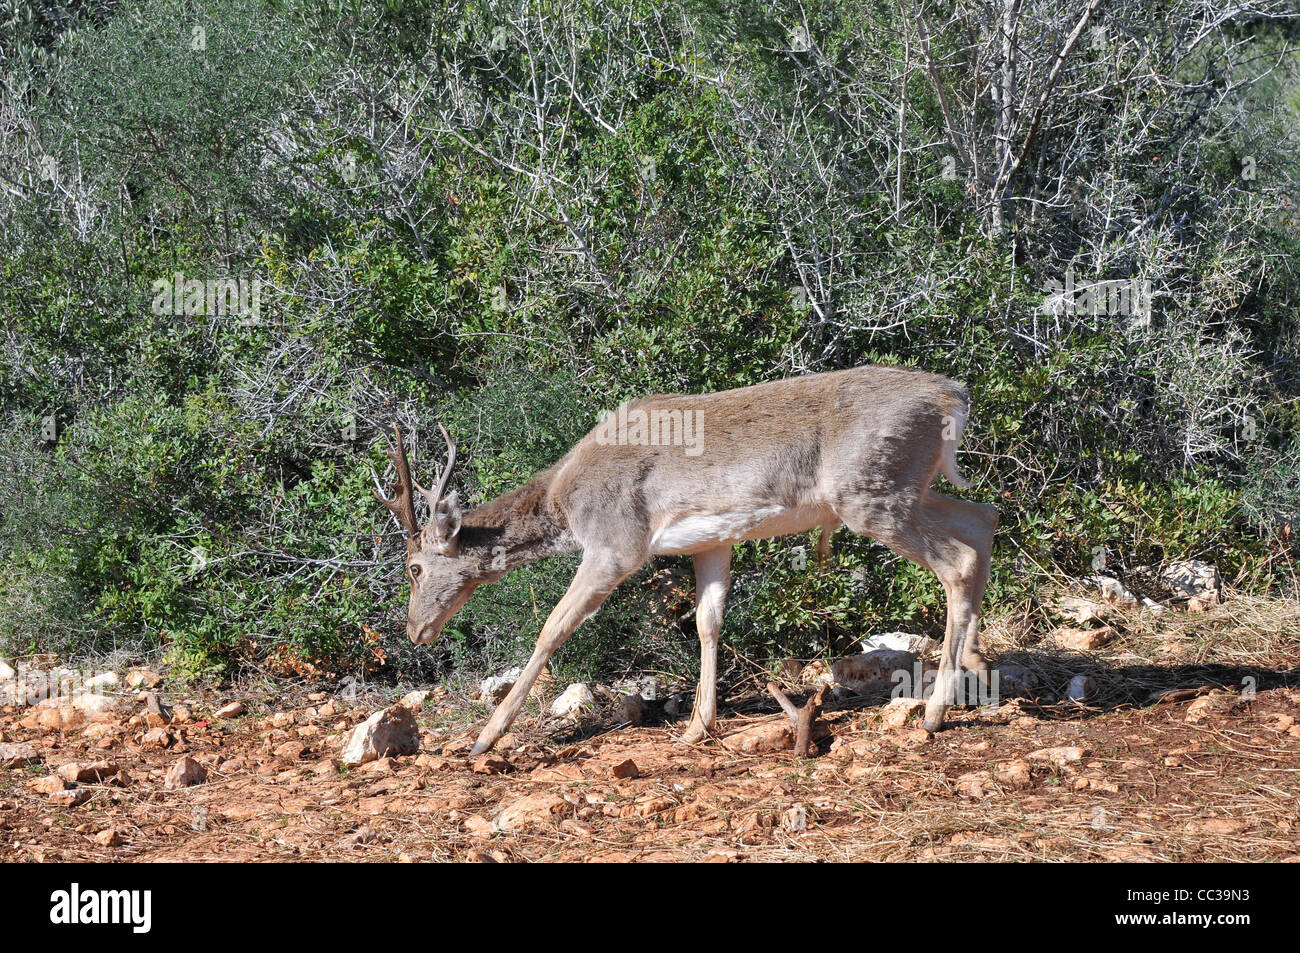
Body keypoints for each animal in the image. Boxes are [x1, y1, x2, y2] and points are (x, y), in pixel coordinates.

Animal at [372, 365, 998, 756]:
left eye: (414, 567)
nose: (416, 629)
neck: (566, 503)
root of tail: (953, 396)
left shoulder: (616, 544)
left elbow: (552, 627)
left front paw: (485, 738)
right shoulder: (710, 543)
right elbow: (707, 621)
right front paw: (699, 727)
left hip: (870, 495)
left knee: (958, 561)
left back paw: (935, 712)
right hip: (908, 490)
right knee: (983, 516)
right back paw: (976, 665)